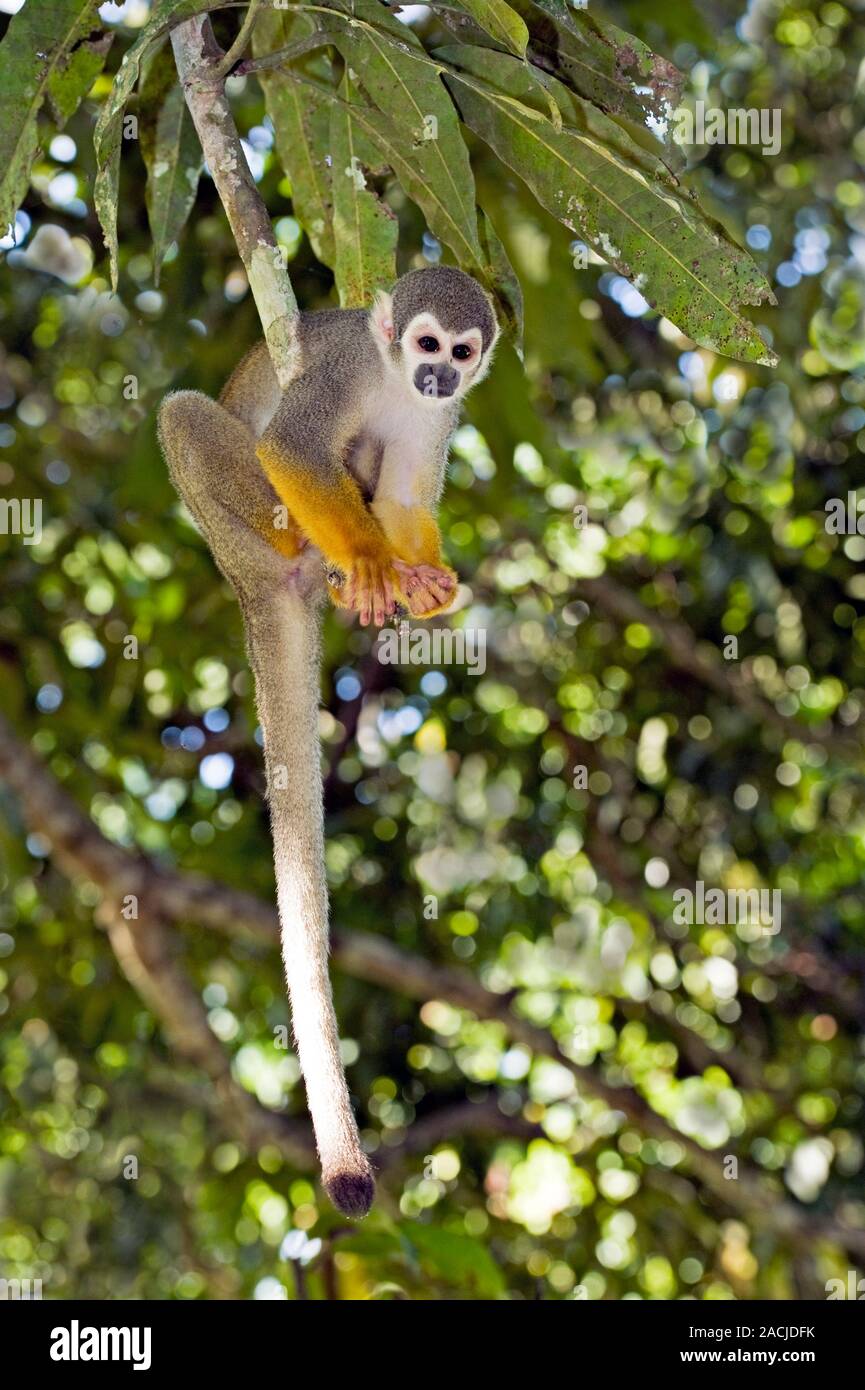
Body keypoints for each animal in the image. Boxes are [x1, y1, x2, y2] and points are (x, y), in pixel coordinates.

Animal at [157, 265, 499, 1218]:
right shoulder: (346, 368)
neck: (391, 381)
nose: (438, 377)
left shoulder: (442, 420)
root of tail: (246, 583)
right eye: (425, 344)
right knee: (188, 416)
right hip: (241, 534)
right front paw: (375, 560)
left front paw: (420, 572)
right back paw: (334, 556)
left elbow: (412, 493)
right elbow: (295, 447)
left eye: (462, 353)